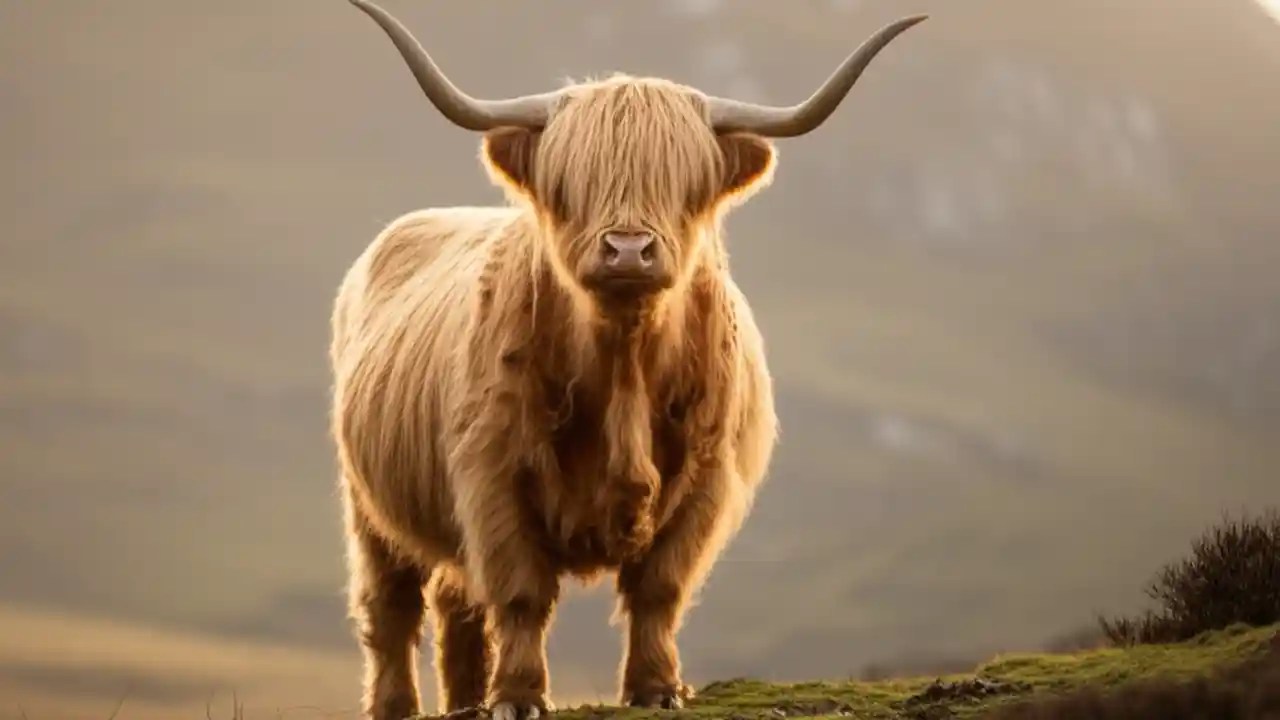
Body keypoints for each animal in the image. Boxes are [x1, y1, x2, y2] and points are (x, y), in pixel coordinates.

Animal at [329, 2, 926, 719]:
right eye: (569, 183)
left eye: (685, 184)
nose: (628, 250)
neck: (624, 365)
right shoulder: (492, 479)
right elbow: (522, 594)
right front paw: (521, 697)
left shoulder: (704, 484)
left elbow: (658, 591)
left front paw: (657, 687)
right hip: (368, 504)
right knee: (392, 607)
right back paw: (400, 706)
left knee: (456, 605)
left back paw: (467, 703)